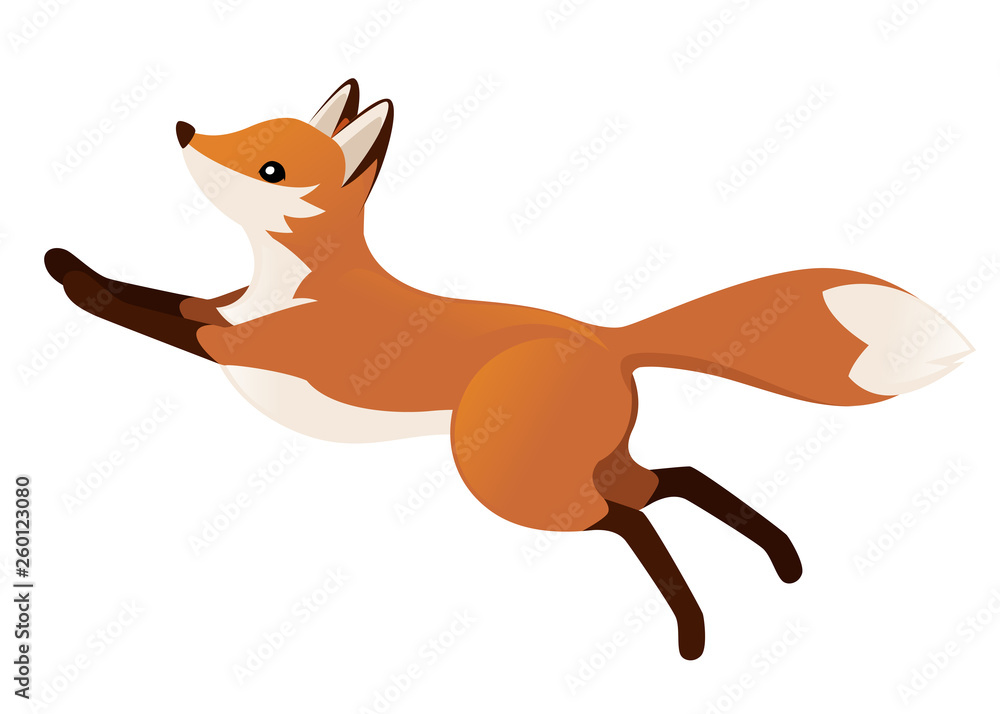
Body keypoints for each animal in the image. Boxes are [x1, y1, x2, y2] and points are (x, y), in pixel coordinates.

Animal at [44, 79, 973, 660]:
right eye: (244, 132)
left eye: (271, 166)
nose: (185, 130)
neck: (288, 286)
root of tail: (606, 334)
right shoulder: (224, 319)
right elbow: (159, 300)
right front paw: (66, 264)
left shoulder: (232, 343)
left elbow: (138, 306)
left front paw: (67, 270)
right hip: (588, 463)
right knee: (674, 482)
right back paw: (773, 566)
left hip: (505, 478)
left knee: (627, 520)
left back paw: (693, 631)